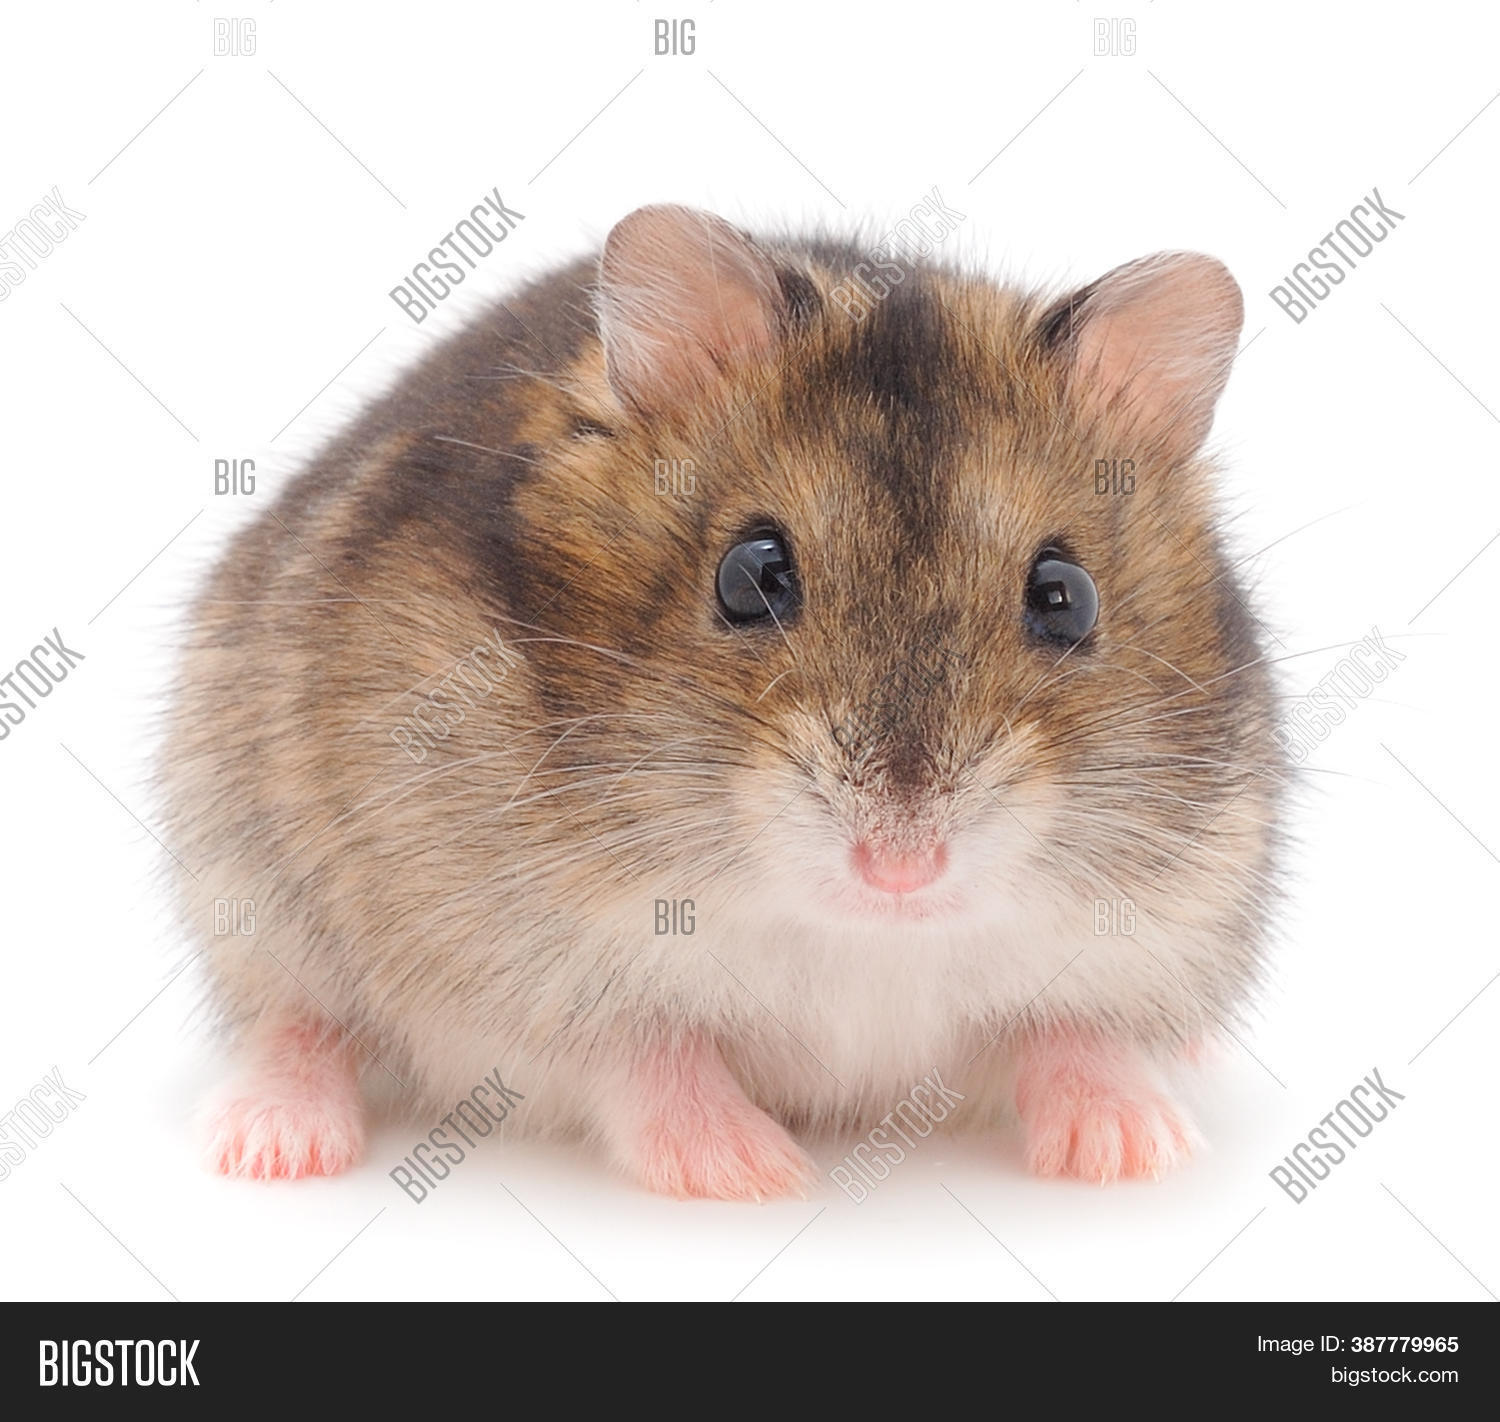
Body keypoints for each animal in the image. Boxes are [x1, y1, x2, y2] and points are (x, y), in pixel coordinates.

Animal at [162, 204, 1284, 1198]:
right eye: (751, 576)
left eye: (1066, 597)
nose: (901, 868)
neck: (857, 937)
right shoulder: (520, 970)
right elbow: (650, 1056)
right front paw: (760, 1177)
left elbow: (1073, 1031)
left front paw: (1139, 1152)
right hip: (249, 877)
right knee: (296, 1020)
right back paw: (272, 1147)